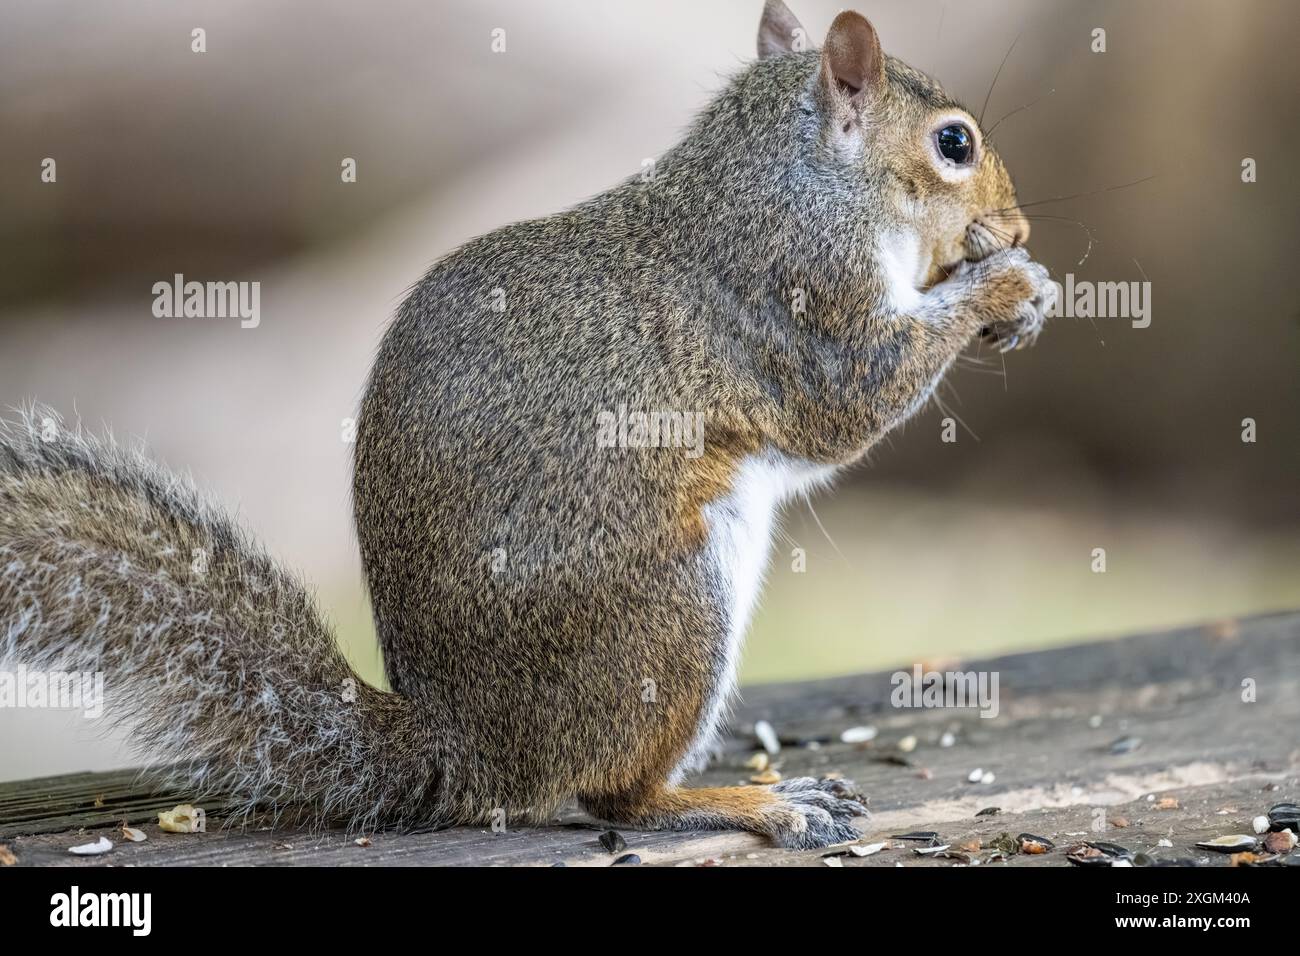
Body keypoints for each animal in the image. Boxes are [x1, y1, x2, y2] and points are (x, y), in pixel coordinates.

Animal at [0, 2, 1053, 849]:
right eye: (954, 144)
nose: (1020, 225)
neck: (790, 181)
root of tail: (468, 752)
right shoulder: (801, 301)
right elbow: (850, 402)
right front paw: (1002, 286)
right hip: (671, 609)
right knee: (616, 798)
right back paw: (757, 803)